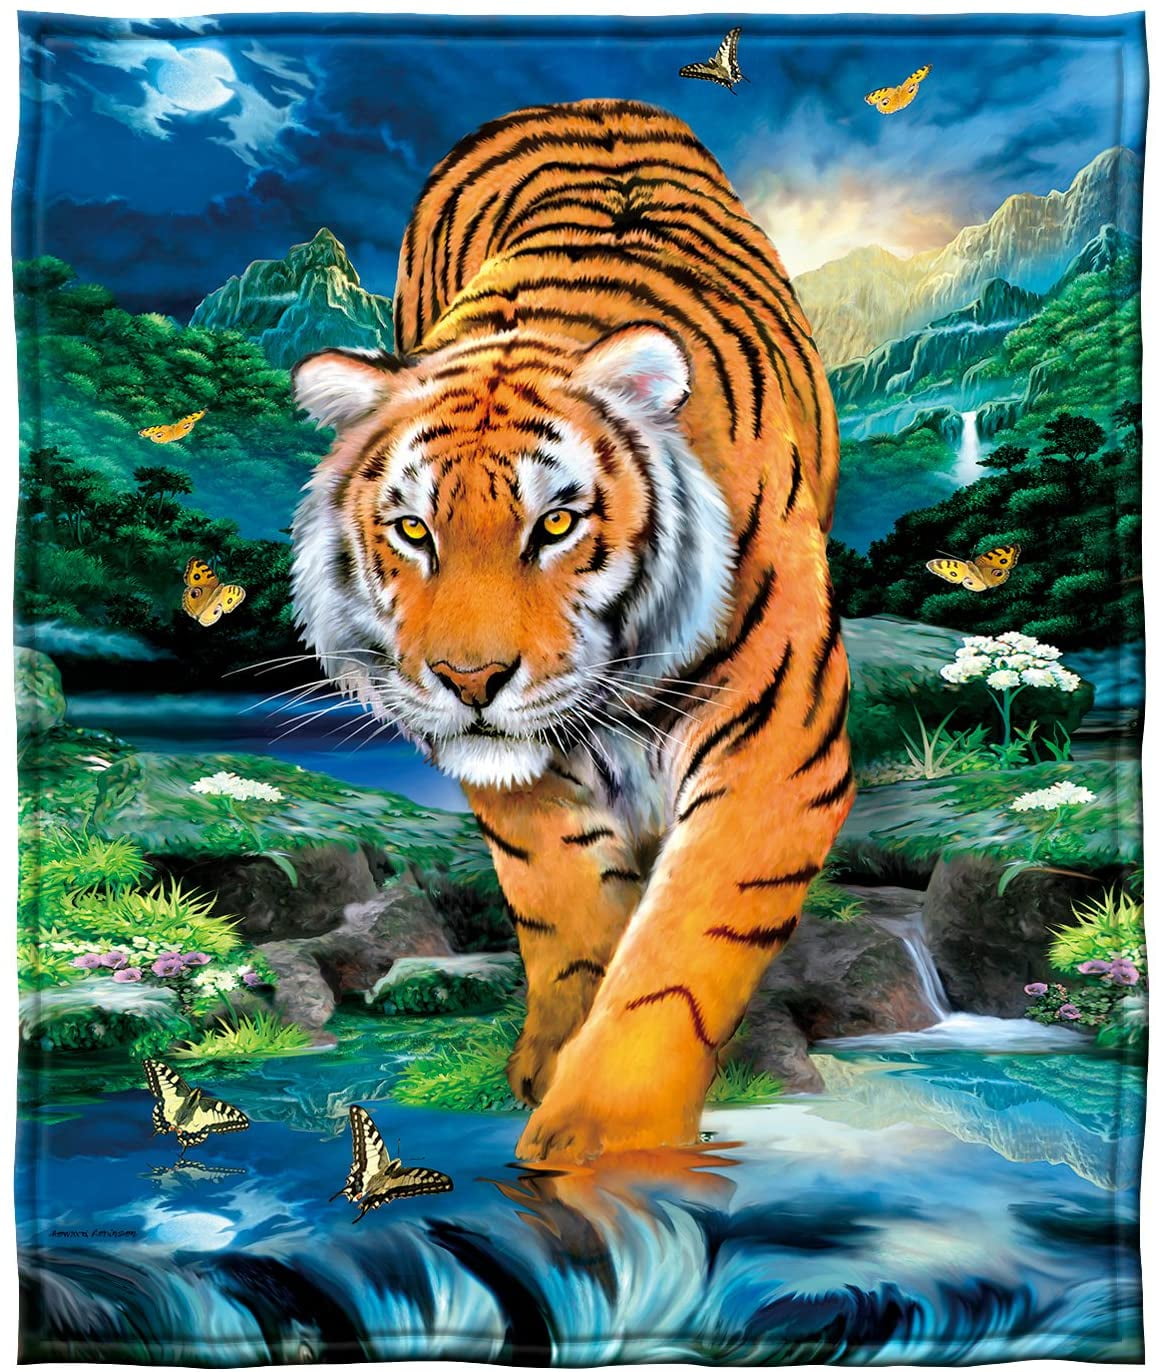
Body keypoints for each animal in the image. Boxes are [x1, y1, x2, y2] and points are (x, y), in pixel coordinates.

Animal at [291, 99, 853, 1163]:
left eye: (555, 524)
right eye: (413, 531)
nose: (469, 680)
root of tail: (588, 102)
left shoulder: (778, 751)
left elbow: (678, 958)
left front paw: (597, 1140)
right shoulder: (519, 781)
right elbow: (568, 911)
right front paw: (552, 1066)